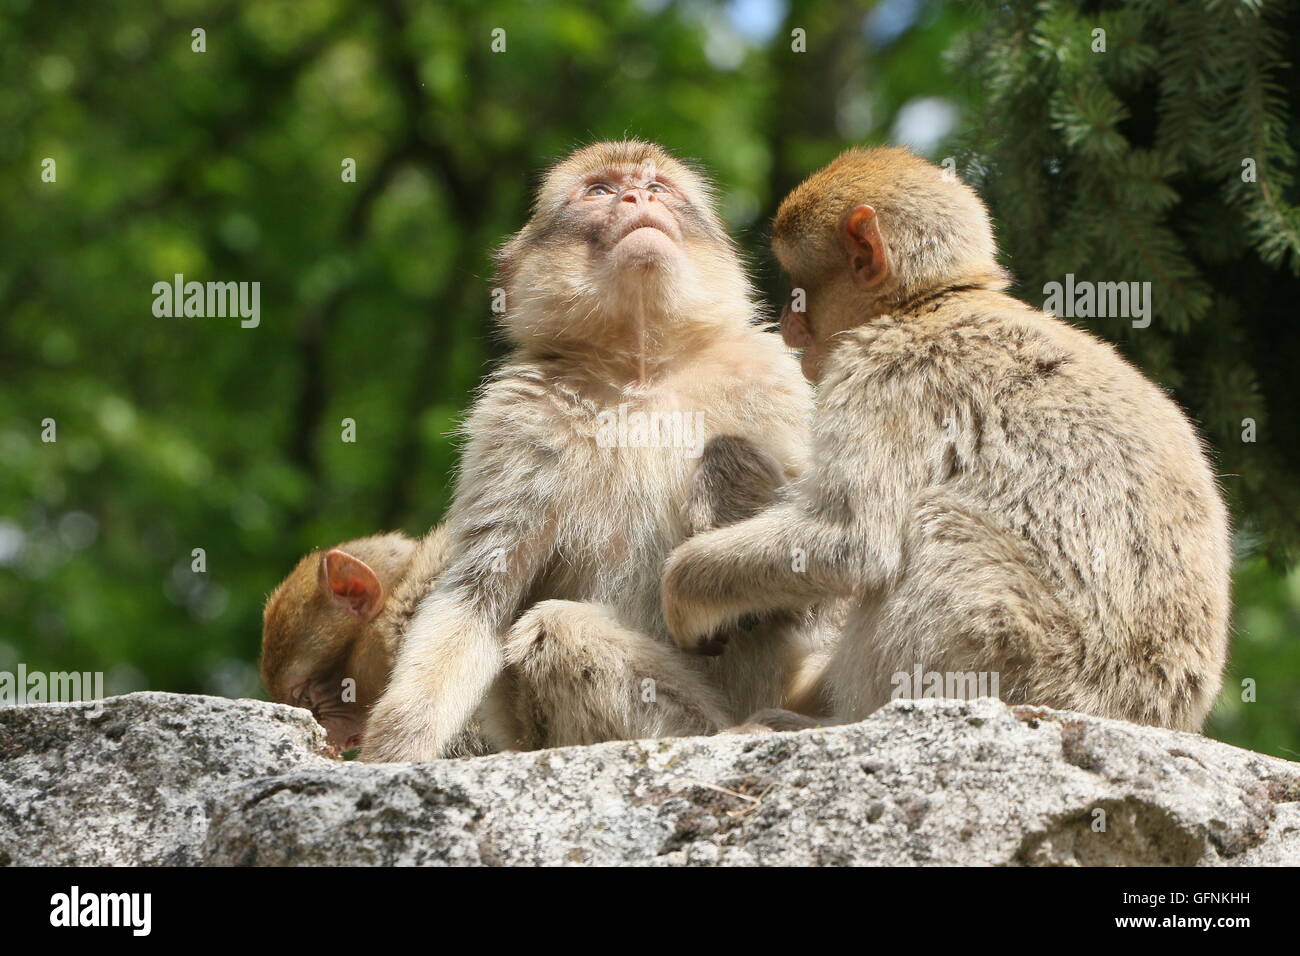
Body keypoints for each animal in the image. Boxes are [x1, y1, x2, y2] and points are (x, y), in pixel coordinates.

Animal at [361, 140, 824, 762]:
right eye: (600, 191)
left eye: (657, 188)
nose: (635, 198)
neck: (641, 369)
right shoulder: (514, 420)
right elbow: (478, 595)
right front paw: (397, 744)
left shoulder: (773, 379)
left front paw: (728, 473)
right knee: (554, 629)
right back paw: (722, 733)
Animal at [660, 145, 1231, 733]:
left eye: (797, 284)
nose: (786, 319)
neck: (931, 303)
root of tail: (1151, 714)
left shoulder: (885, 373)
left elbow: (853, 541)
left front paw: (684, 590)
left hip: (1033, 664)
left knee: (936, 524)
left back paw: (847, 718)